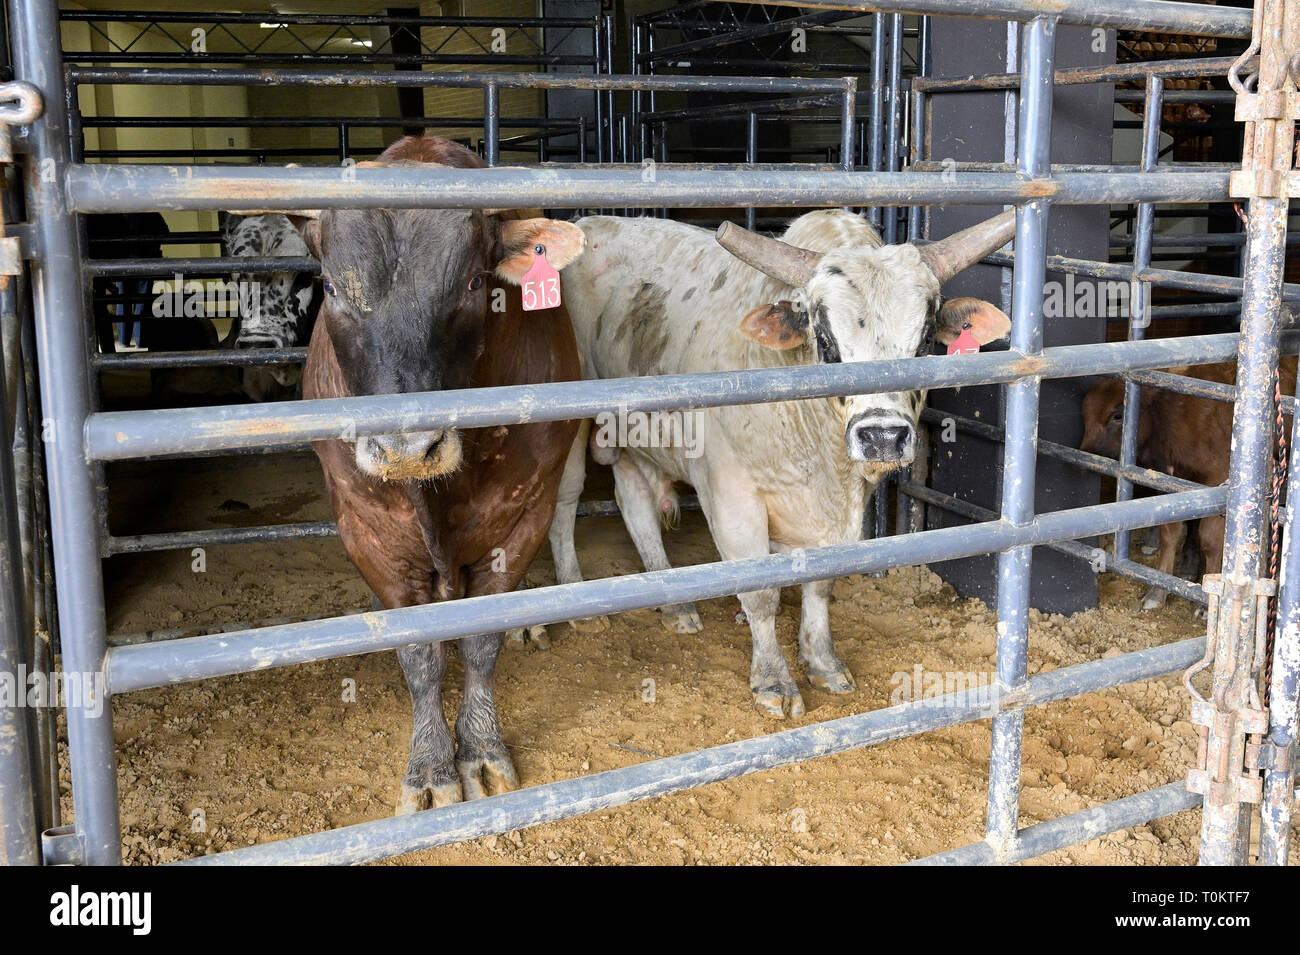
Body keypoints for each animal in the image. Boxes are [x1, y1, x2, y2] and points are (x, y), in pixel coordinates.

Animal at [292, 134, 585, 813]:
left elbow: (482, 640)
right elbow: (419, 653)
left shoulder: (524, 514)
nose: (405, 446)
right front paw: (430, 764)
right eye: (332, 287)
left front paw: (480, 750)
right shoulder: (366, 528)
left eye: (476, 282)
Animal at [548, 208, 1017, 717]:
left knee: (635, 503)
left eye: (926, 340)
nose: (882, 437)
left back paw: (675, 605)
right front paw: (772, 680)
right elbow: (760, 594)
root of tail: (589, 223)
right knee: (566, 501)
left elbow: (819, 586)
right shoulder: (732, 501)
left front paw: (823, 661)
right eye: (825, 340)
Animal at [1080, 356, 1297, 610]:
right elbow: (1171, 533)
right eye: (1085, 415)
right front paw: (1158, 591)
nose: (1084, 453)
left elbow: (1211, 539)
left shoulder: (1218, 479)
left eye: (1117, 415)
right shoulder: (1175, 481)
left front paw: (1206, 601)